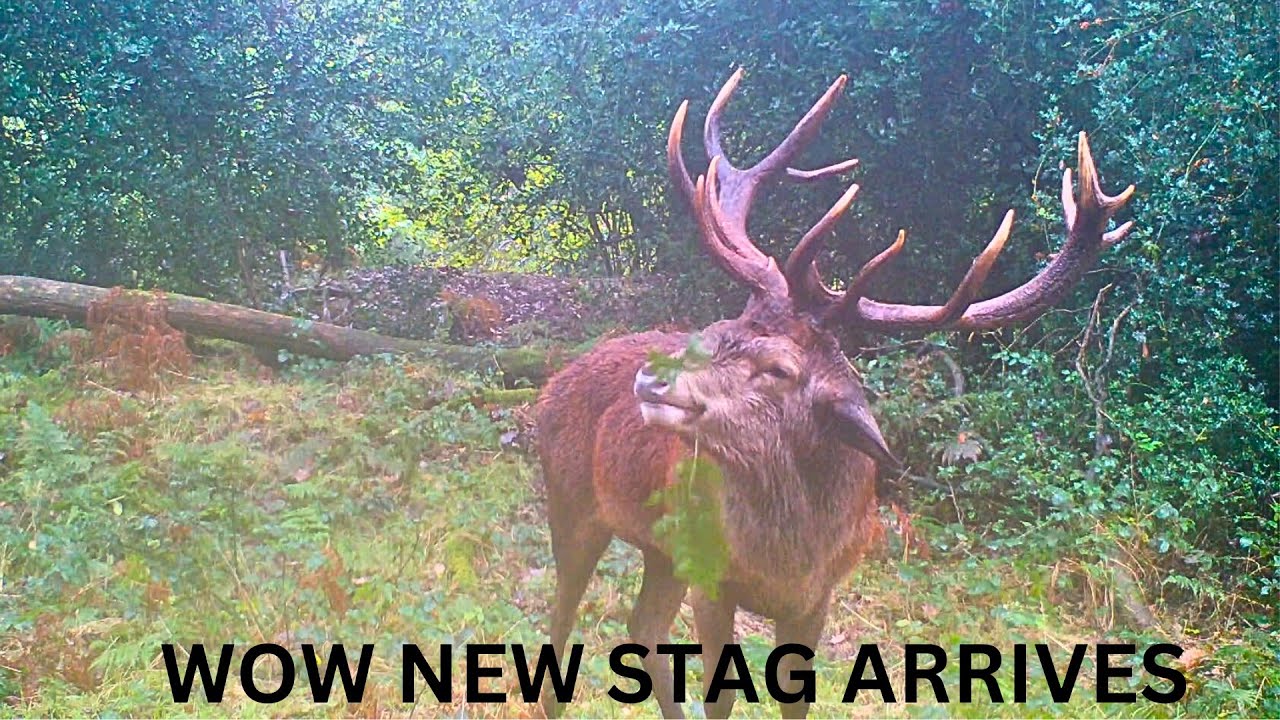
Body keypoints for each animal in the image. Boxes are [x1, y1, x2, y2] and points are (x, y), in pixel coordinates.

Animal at [535, 68, 1134, 719]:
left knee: (642, 631)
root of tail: (553, 383)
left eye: (779, 368)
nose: (650, 379)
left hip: (660, 551)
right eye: (719, 328)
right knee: (563, 621)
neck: (788, 561)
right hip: (571, 503)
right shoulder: (710, 578)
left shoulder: (817, 596)